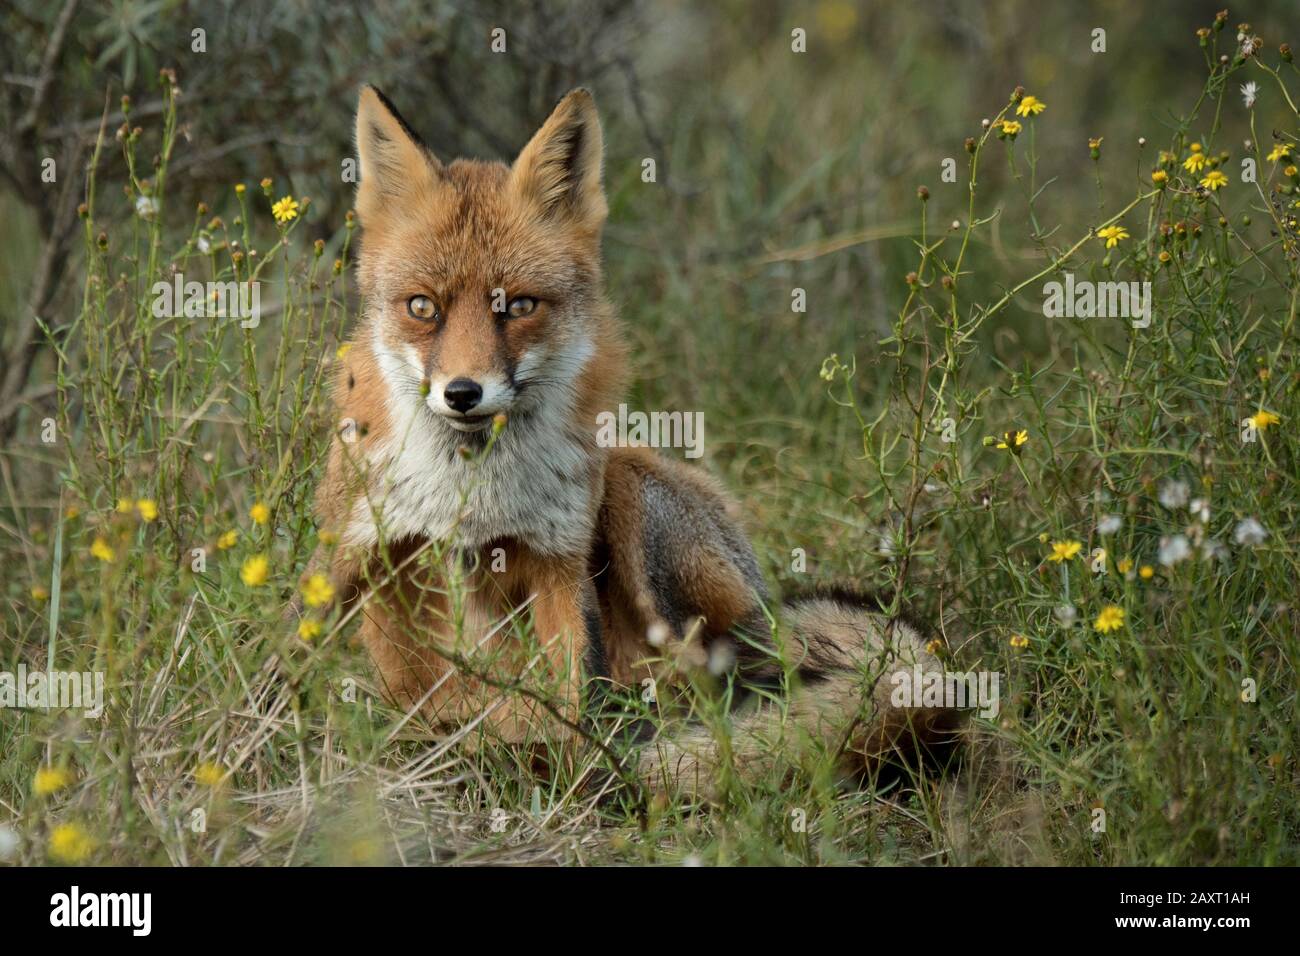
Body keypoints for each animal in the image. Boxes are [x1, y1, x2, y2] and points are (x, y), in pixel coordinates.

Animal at [301, 84, 959, 798]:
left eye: (519, 306)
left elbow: (571, 698)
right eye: (423, 308)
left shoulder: (560, 562)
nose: (463, 393)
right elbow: (290, 645)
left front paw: (563, 764)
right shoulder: (354, 548)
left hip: (633, 490)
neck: (469, 497)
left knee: (715, 679)